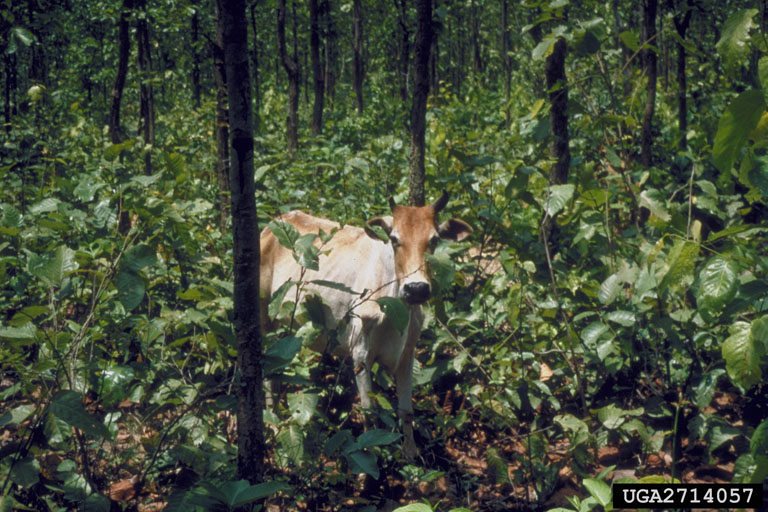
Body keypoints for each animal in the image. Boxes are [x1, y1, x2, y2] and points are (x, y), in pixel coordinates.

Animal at [259, 192, 472, 458]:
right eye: (394, 239)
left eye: (434, 239)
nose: (416, 289)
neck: (396, 306)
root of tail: (272, 225)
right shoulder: (360, 352)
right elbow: (369, 410)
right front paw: (371, 452)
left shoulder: (407, 354)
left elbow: (406, 411)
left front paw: (411, 454)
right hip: (265, 322)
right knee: (268, 376)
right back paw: (272, 424)